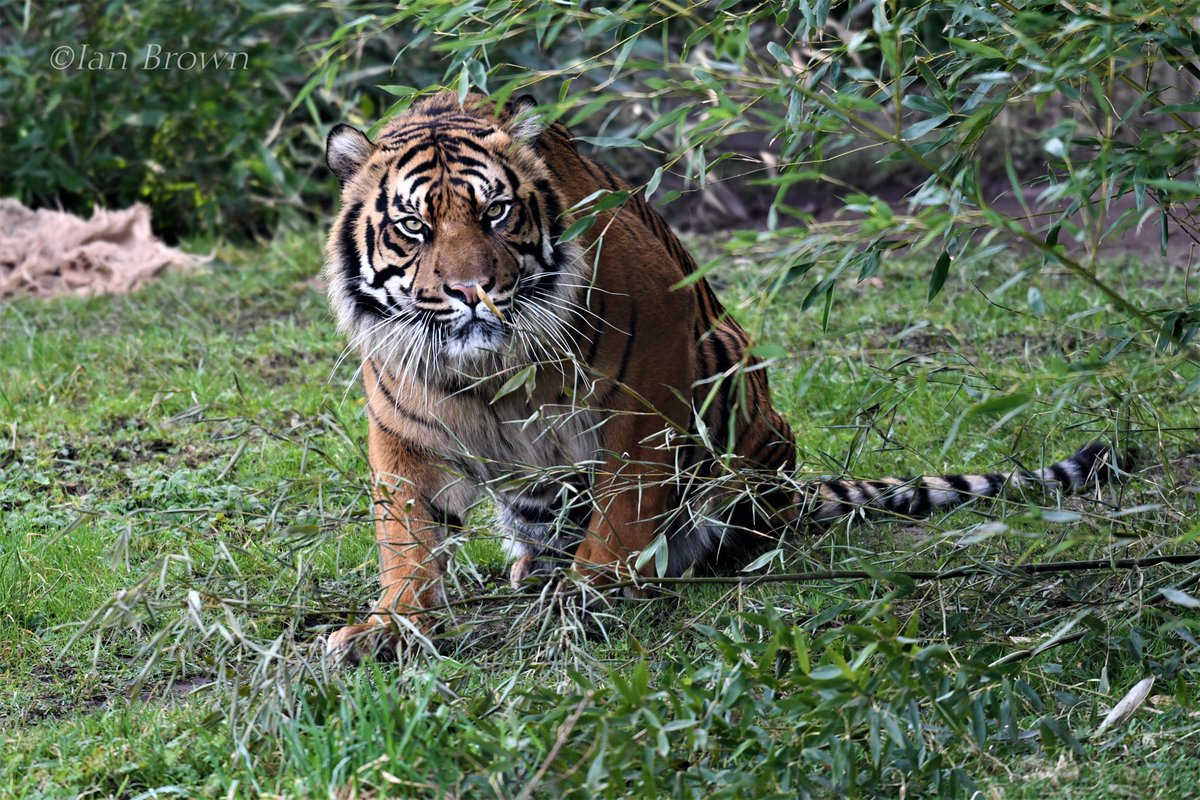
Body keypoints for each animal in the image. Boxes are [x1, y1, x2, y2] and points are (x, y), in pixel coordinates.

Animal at [322, 91, 1115, 662]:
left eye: (497, 212)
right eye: (414, 228)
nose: (471, 291)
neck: (494, 366)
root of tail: (789, 485)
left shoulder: (648, 382)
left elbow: (624, 507)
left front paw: (593, 594)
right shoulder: (403, 427)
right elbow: (407, 537)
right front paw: (391, 626)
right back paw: (533, 569)